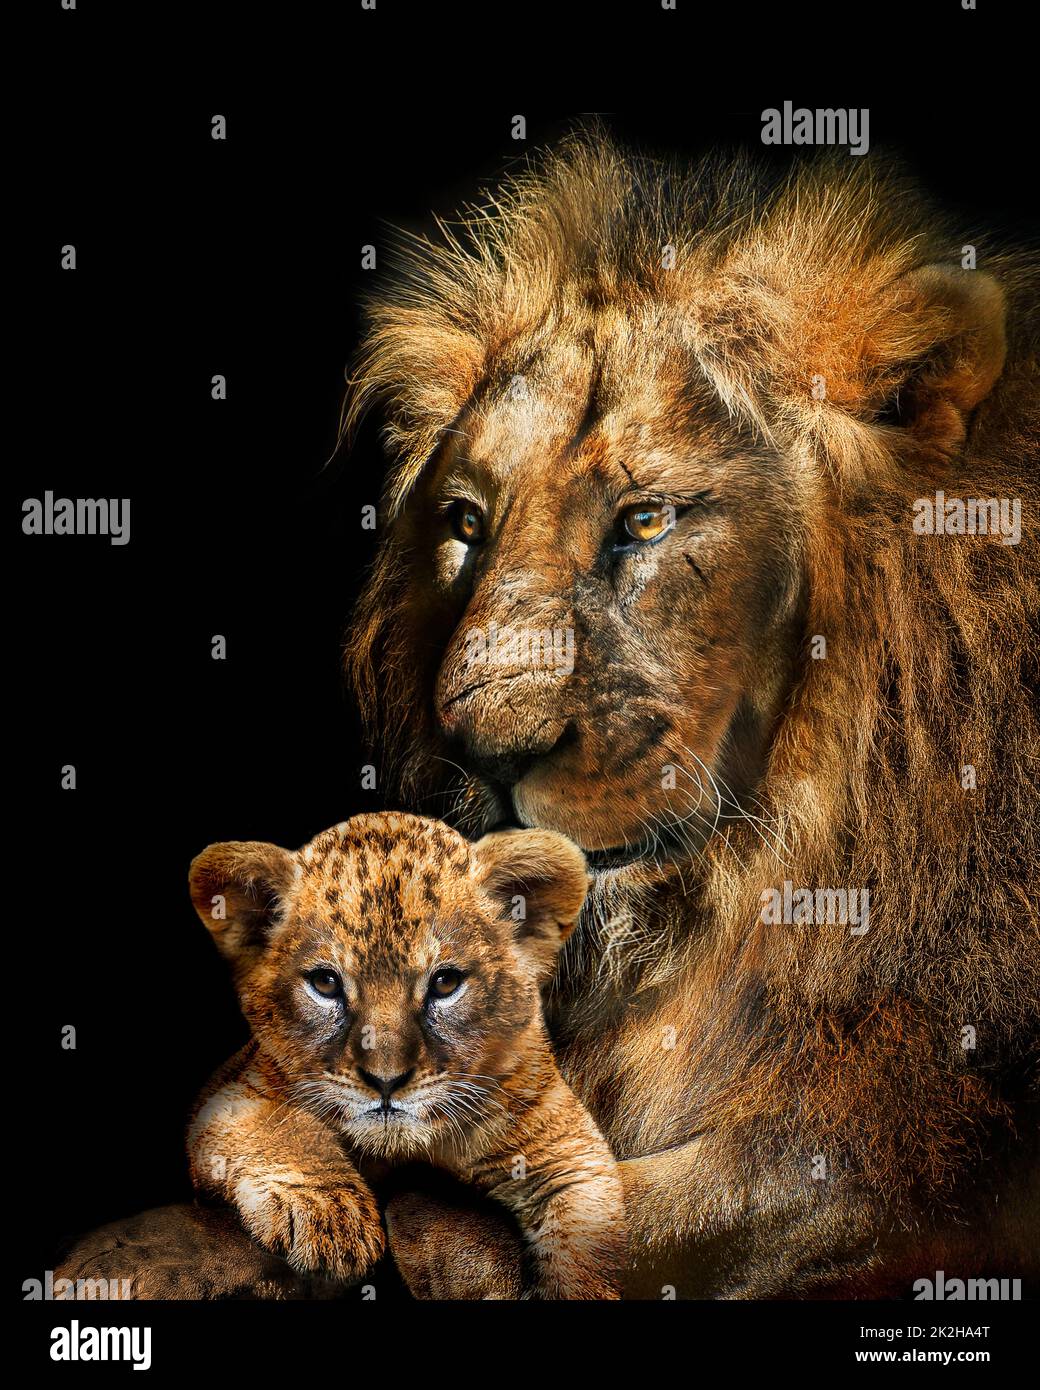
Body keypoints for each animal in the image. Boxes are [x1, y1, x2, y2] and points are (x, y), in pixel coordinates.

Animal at [57, 128, 1038, 1299]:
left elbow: (640, 1205)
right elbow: (240, 1101)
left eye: (647, 520)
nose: (481, 752)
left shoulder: (907, 1127)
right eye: (466, 524)